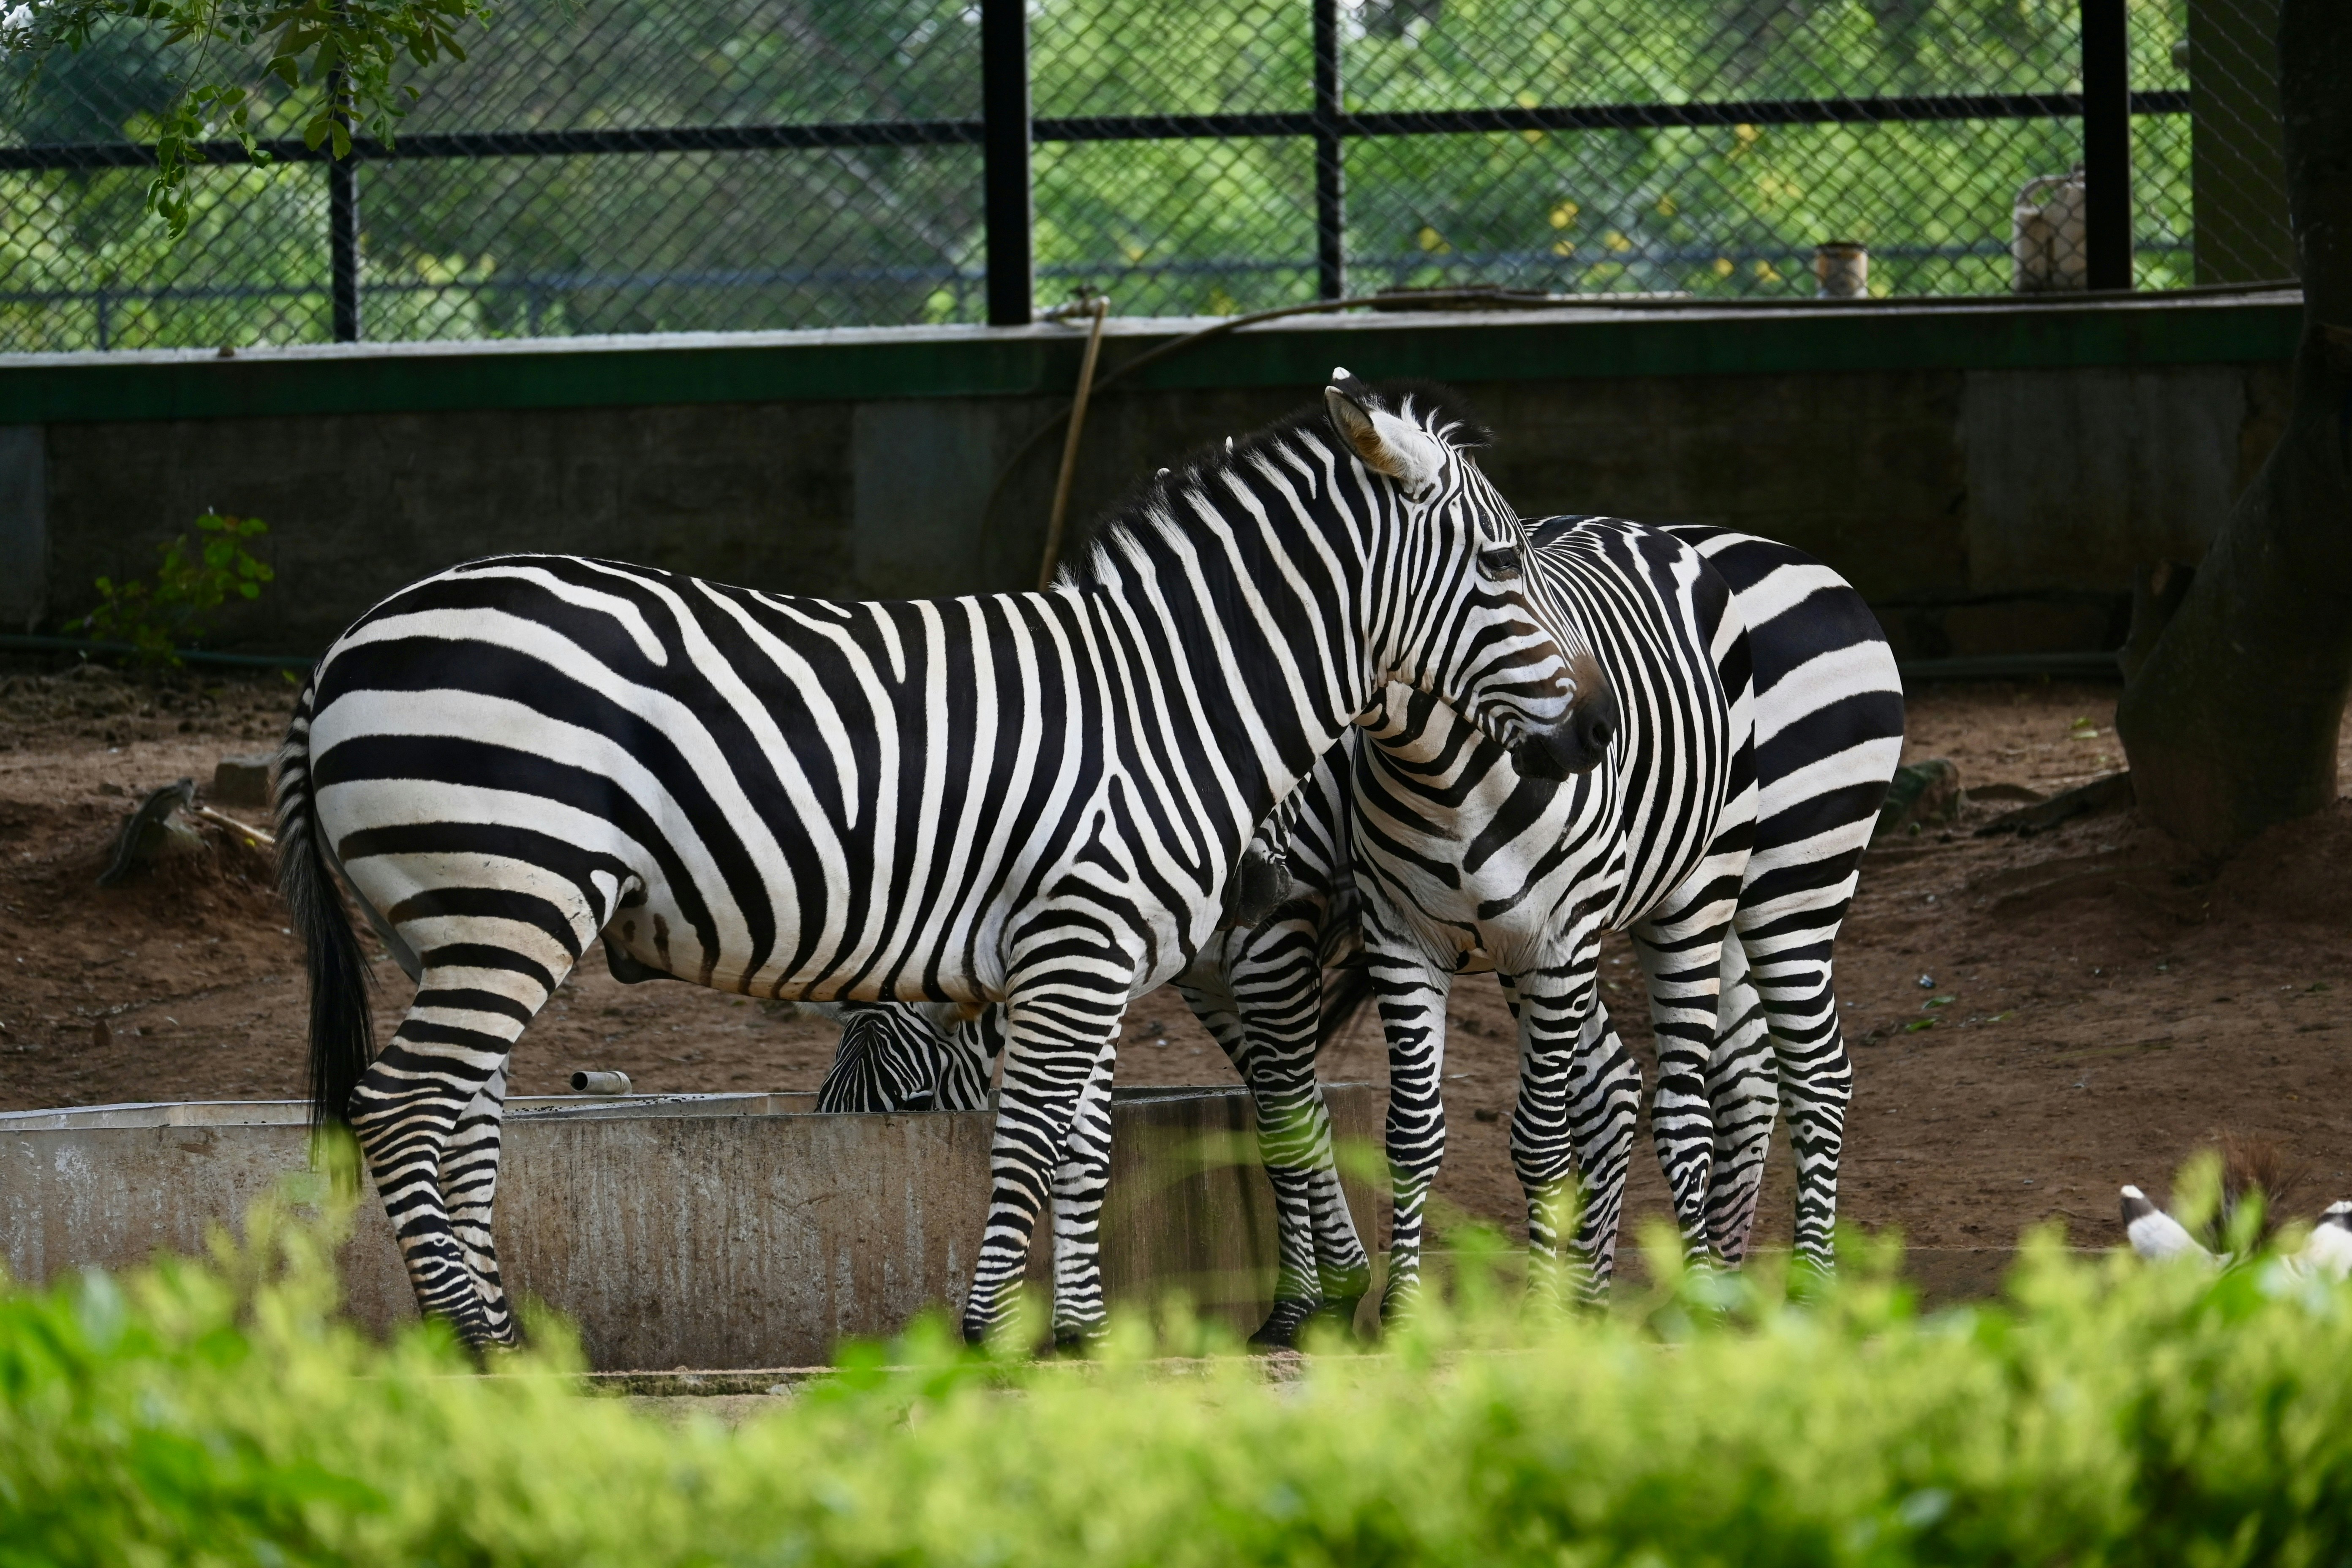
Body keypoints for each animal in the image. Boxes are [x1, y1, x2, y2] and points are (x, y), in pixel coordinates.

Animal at [274, 373, 1613, 1349]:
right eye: (1502, 566)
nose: (1599, 733)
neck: (1170, 702)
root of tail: (344, 643)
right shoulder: (1078, 941)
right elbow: (1028, 1138)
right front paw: (986, 1336)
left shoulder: (1088, 958)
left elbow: (1083, 1144)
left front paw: (1074, 1339)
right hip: (511, 900)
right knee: (400, 1108)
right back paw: (472, 1346)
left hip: (450, 926)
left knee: (465, 1119)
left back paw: (505, 1349)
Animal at [815, 520, 1901, 1338]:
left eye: (911, 1108)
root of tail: (1797, 558)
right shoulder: (1191, 967)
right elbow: (1241, 1113)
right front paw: (1307, 1293)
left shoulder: (1266, 941)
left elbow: (1289, 1114)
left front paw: (1322, 1297)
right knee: (1661, 1078)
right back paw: (1645, 1291)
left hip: (1784, 876)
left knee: (1807, 1069)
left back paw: (1784, 1288)